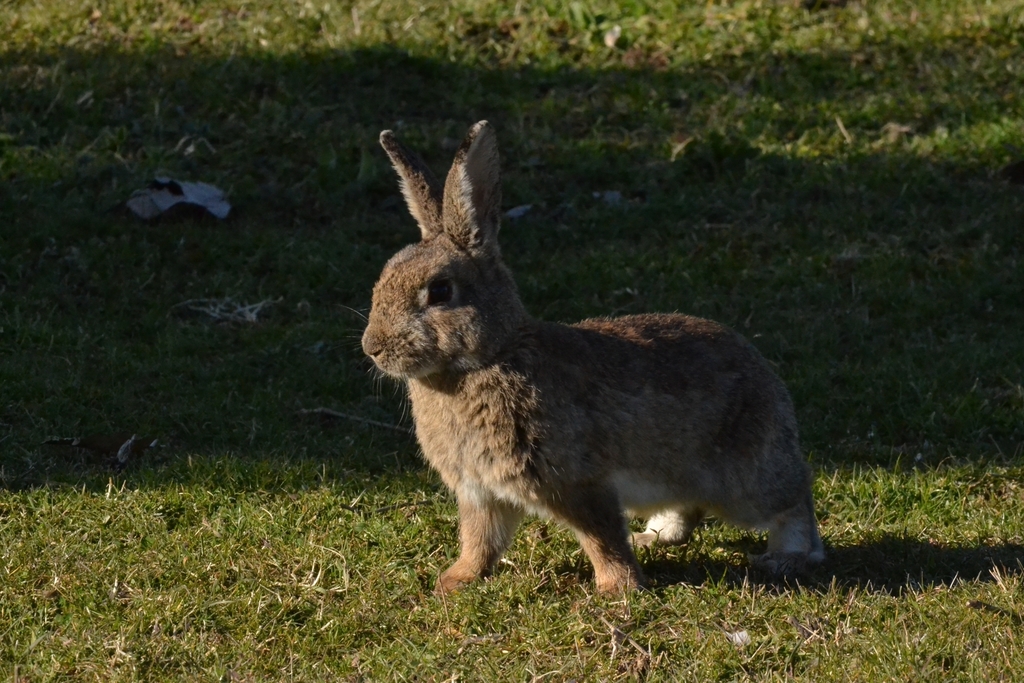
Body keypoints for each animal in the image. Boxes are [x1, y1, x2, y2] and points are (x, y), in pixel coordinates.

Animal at [361, 121, 825, 595]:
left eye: (440, 291)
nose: (372, 347)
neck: (491, 356)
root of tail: (766, 377)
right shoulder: (479, 492)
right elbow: (480, 540)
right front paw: (455, 581)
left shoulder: (578, 482)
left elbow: (602, 537)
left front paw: (618, 589)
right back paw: (654, 535)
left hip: (741, 480)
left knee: (793, 498)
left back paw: (787, 557)